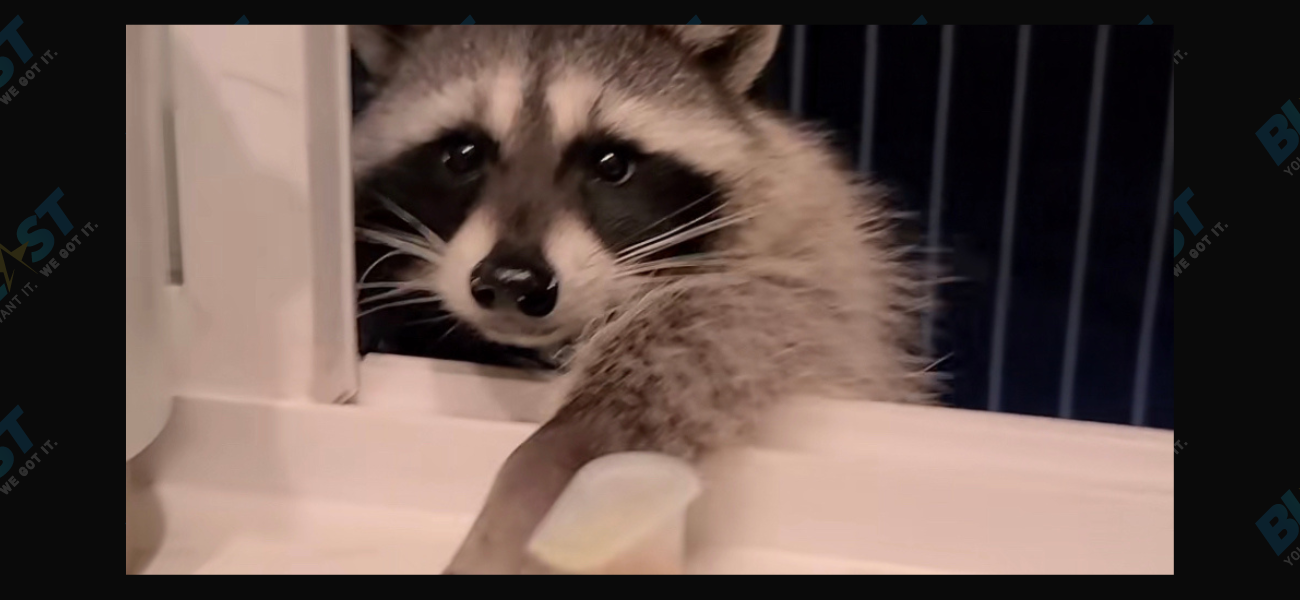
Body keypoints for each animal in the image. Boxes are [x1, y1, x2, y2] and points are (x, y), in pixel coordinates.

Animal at [349, 24, 937, 574]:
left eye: (611, 164)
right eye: (463, 154)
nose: (514, 281)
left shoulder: (820, 267)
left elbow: (745, 315)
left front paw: (565, 443)